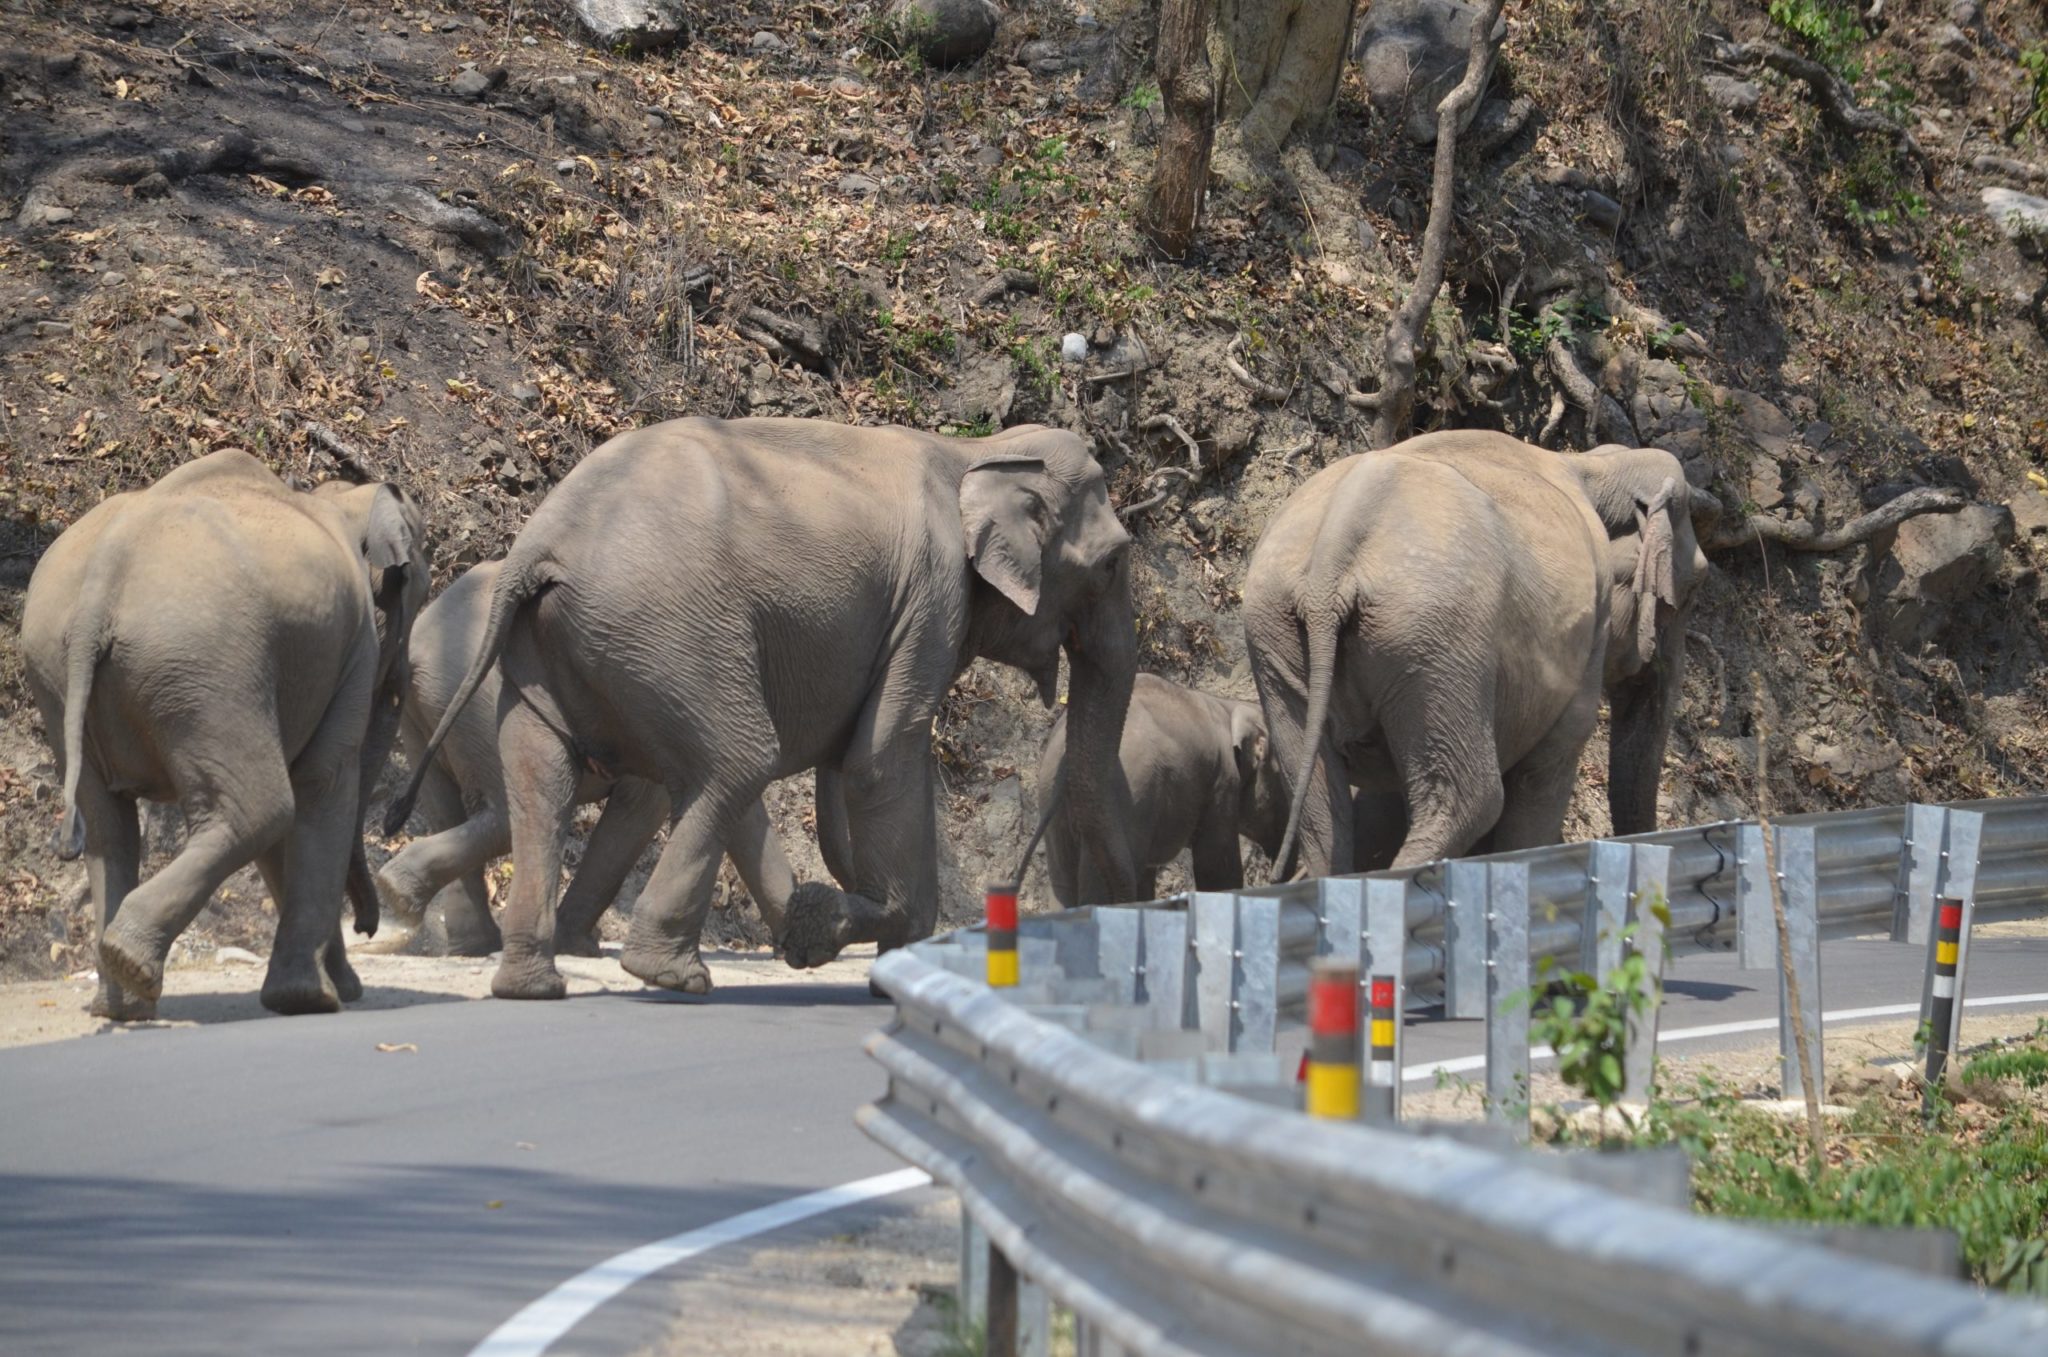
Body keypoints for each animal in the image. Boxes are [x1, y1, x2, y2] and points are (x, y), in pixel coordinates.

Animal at [19, 449, 427, 1017]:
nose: (368, 928)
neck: (333, 499)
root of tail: (103, 578)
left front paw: (329, 990)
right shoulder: (354, 649)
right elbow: (320, 782)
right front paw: (314, 998)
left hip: (60, 676)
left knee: (109, 830)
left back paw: (119, 1005)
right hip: (205, 666)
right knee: (262, 807)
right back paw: (130, 962)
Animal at [377, 560, 801, 957]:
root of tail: (418, 650)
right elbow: (648, 803)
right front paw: (577, 946)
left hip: (421, 715)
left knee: (445, 810)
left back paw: (458, 937)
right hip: (480, 706)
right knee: (509, 815)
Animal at [1032, 673, 1290, 905]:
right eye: (1281, 776)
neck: (1228, 706)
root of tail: (1068, 750)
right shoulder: (1223, 781)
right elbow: (1216, 867)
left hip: (1052, 798)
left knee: (1063, 883)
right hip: (1125, 800)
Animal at [1242, 431, 1717, 878]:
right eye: (1693, 589)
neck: (1597, 466)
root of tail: (1333, 552)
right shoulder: (1588, 633)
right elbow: (1545, 769)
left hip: (1279, 633)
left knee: (1322, 813)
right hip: (1437, 638)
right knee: (1473, 800)